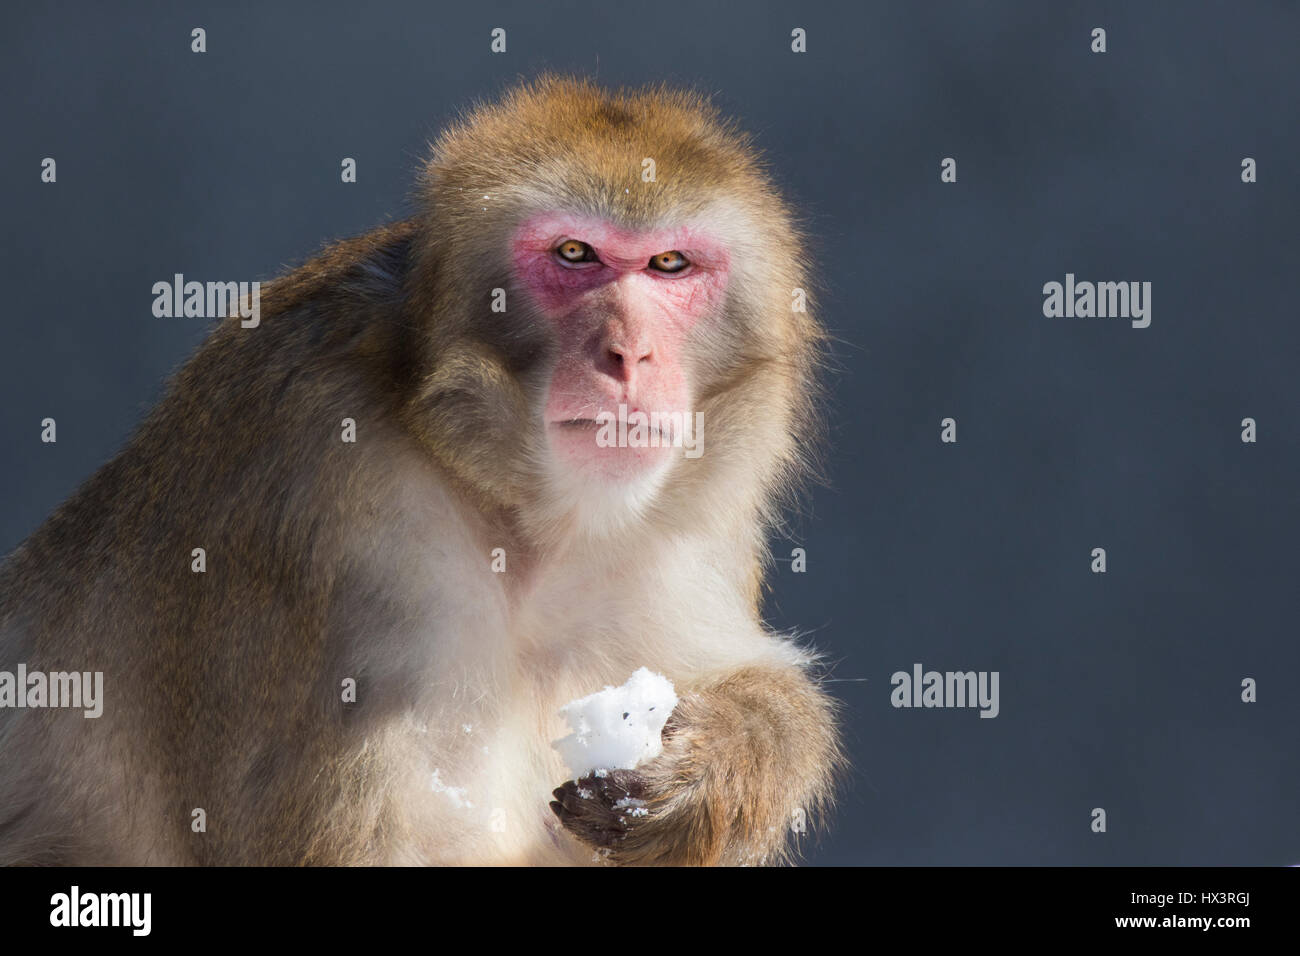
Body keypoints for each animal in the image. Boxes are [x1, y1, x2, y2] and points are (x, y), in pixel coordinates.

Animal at [0, 75, 842, 866]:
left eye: (670, 263)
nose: (630, 353)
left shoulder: (694, 531)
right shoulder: (310, 479)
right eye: (574, 254)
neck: (519, 515)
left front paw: (713, 760)